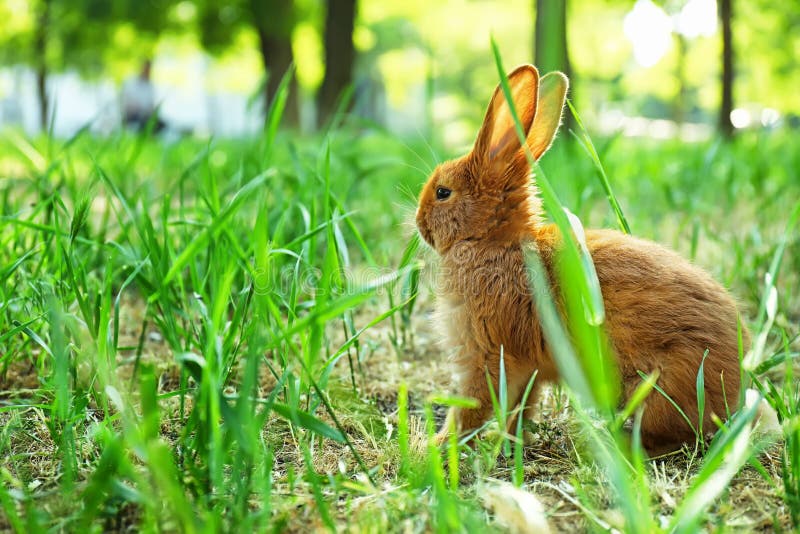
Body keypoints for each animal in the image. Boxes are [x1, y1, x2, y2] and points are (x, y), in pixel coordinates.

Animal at [415, 64, 747, 453]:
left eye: (442, 192)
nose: (419, 222)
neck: (494, 241)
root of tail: (732, 386)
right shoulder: (526, 369)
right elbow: (520, 405)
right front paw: (507, 440)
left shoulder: (489, 353)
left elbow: (475, 404)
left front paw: (437, 444)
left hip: (657, 387)